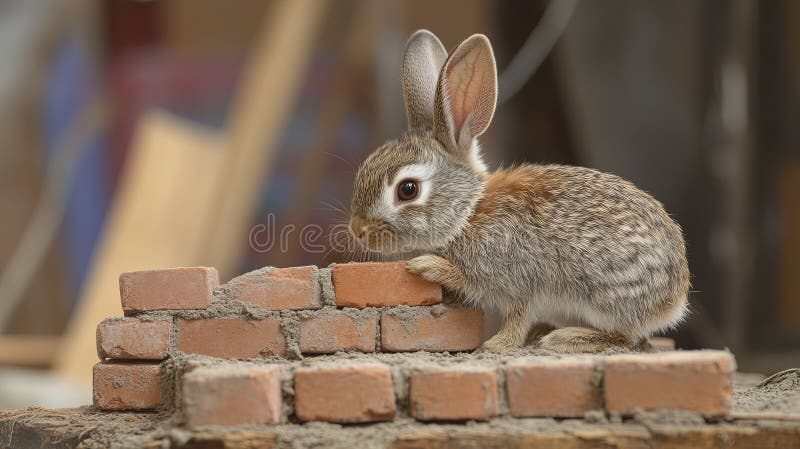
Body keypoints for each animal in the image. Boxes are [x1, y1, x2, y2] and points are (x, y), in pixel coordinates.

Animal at [347, 30, 690, 353]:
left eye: (407, 190)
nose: (358, 231)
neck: (468, 213)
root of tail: (674, 299)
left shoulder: (517, 281)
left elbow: (516, 316)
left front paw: (492, 340)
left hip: (603, 294)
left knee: (626, 336)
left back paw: (564, 337)